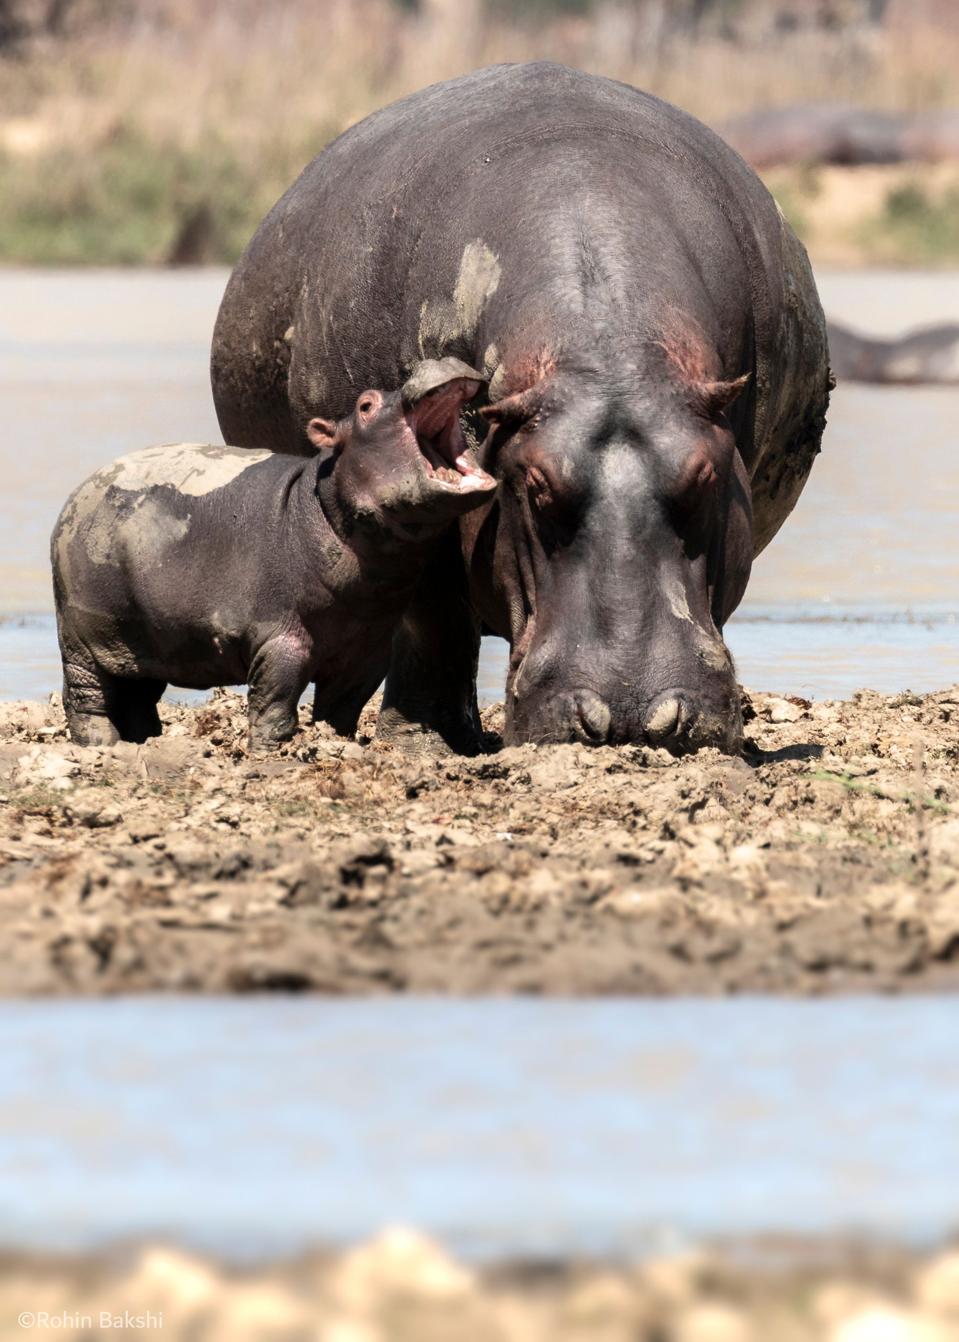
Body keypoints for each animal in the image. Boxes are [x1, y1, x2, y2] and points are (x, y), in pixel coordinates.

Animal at [51, 360, 494, 750]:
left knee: (136, 697)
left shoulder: (366, 650)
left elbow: (342, 710)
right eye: (365, 405)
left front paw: (336, 743)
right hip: (83, 638)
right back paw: (101, 747)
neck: (323, 502)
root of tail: (75, 496)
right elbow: (274, 701)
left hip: (143, 642)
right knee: (87, 698)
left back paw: (144, 742)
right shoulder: (281, 637)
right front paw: (271, 752)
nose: (437, 360)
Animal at [211, 62, 831, 754]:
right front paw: (422, 741)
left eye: (706, 477)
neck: (606, 360)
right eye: (535, 486)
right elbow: (433, 615)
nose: (634, 713)